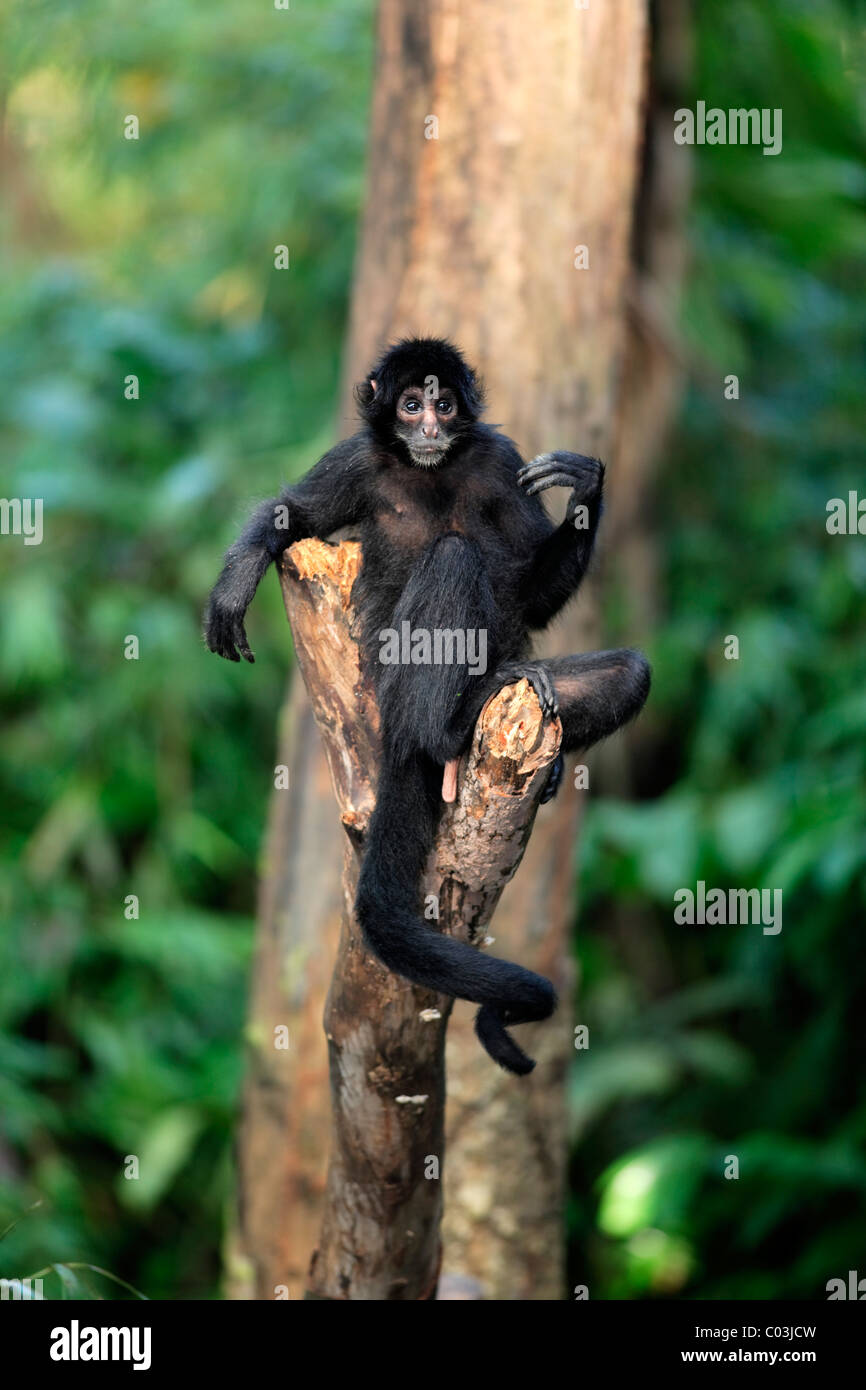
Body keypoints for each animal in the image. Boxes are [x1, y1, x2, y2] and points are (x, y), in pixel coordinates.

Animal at [204, 337, 650, 1075]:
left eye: (444, 403)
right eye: (410, 404)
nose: (431, 428)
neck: (428, 471)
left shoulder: (498, 455)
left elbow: (534, 598)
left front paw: (586, 487)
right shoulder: (357, 459)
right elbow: (291, 516)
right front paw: (237, 580)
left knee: (625, 671)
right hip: (399, 686)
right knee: (452, 555)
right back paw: (449, 732)